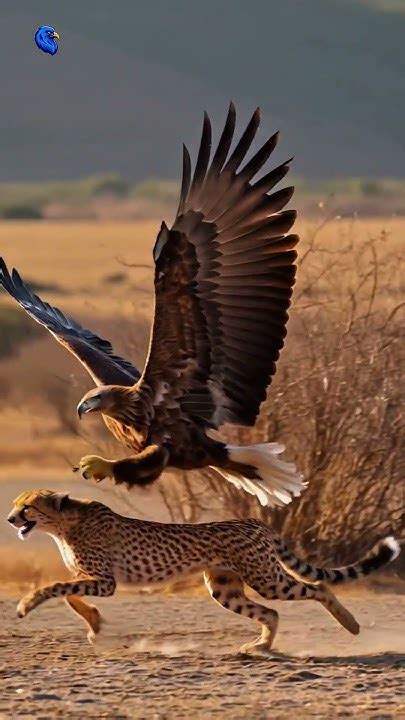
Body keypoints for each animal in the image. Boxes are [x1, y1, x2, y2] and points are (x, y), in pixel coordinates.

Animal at [7, 489, 400, 656]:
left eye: (27, 507)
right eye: (15, 505)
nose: (10, 519)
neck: (63, 524)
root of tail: (254, 519)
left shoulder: (105, 581)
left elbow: (55, 587)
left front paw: (25, 604)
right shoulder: (94, 580)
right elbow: (70, 595)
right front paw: (96, 625)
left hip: (266, 579)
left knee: (317, 586)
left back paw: (351, 624)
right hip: (225, 588)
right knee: (270, 612)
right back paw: (260, 646)